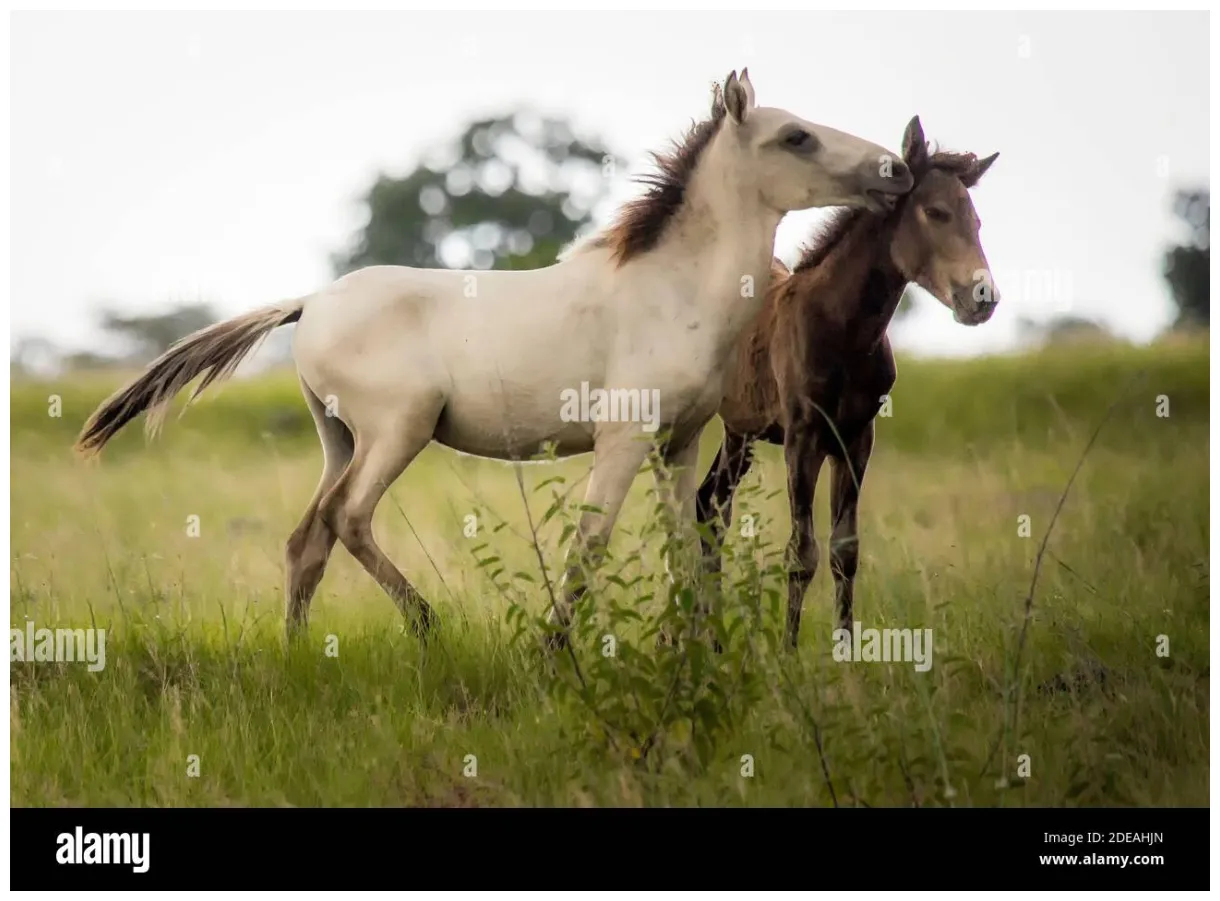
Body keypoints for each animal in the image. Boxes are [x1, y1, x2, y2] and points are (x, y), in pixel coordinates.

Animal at [74, 70, 915, 649]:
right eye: (796, 136)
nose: (895, 171)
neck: (671, 288)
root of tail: (310, 302)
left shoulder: (679, 443)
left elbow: (685, 543)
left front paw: (695, 648)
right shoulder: (623, 439)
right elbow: (590, 542)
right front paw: (553, 647)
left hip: (338, 438)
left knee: (306, 537)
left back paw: (296, 650)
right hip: (398, 430)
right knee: (349, 517)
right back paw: (426, 622)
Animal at [694, 115, 1000, 649]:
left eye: (977, 222)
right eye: (936, 212)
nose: (983, 297)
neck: (843, 328)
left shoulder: (856, 439)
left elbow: (844, 551)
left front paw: (845, 652)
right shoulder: (802, 438)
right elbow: (801, 551)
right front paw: (789, 653)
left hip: (740, 432)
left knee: (710, 505)